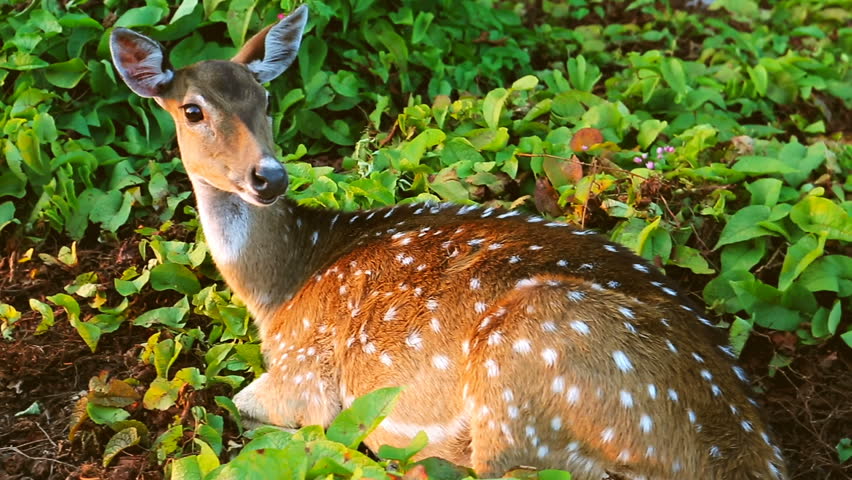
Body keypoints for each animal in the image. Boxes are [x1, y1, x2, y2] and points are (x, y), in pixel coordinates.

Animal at [110, 5, 787, 479]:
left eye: (266, 97)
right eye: (192, 110)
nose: (269, 177)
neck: (279, 289)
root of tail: (749, 452)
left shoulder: (306, 371)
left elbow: (245, 402)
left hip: (524, 368)